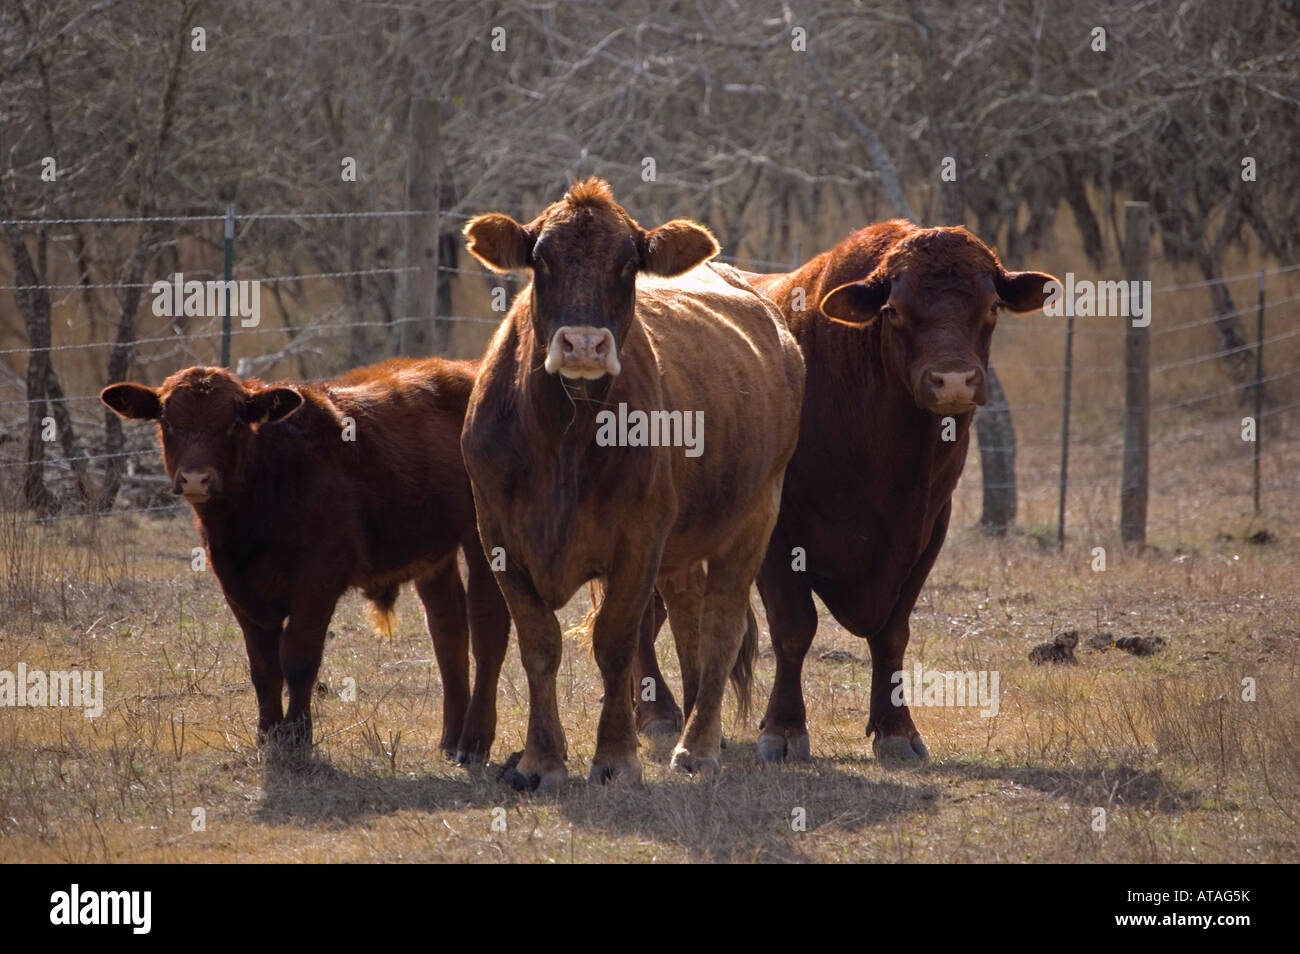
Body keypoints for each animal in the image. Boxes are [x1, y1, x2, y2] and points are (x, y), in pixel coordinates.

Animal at [101, 358, 511, 762]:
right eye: (167, 421)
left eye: (233, 422)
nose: (196, 479)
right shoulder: (237, 587)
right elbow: (263, 666)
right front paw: (267, 734)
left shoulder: (318, 579)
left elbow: (299, 658)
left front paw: (297, 737)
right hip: (433, 552)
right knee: (448, 626)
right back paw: (451, 737)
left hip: (485, 540)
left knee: (488, 623)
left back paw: (474, 741)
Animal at [460, 177, 804, 790]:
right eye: (541, 260)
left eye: (627, 264)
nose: (582, 345)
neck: (565, 437)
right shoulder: (498, 536)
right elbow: (539, 643)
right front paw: (540, 760)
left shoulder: (639, 539)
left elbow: (615, 643)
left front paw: (616, 757)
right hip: (684, 544)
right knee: (690, 614)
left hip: (755, 515)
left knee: (720, 626)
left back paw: (699, 744)